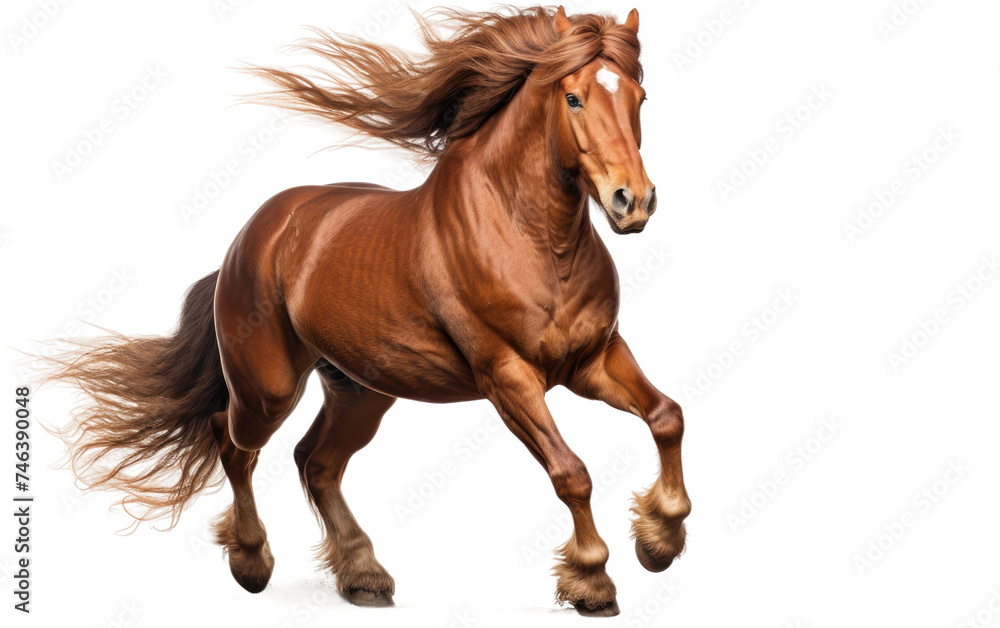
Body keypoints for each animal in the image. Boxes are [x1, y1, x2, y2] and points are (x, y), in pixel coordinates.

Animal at [46, 6, 691, 617]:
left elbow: (667, 417)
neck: (534, 241)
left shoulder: (592, 359)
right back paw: (252, 561)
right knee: (233, 445)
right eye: (573, 97)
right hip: (268, 389)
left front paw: (660, 541)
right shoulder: (508, 376)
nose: (633, 202)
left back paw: (363, 576)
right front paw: (593, 582)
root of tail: (248, 240)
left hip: (361, 391)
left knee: (317, 462)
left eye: (639, 98)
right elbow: (571, 472)